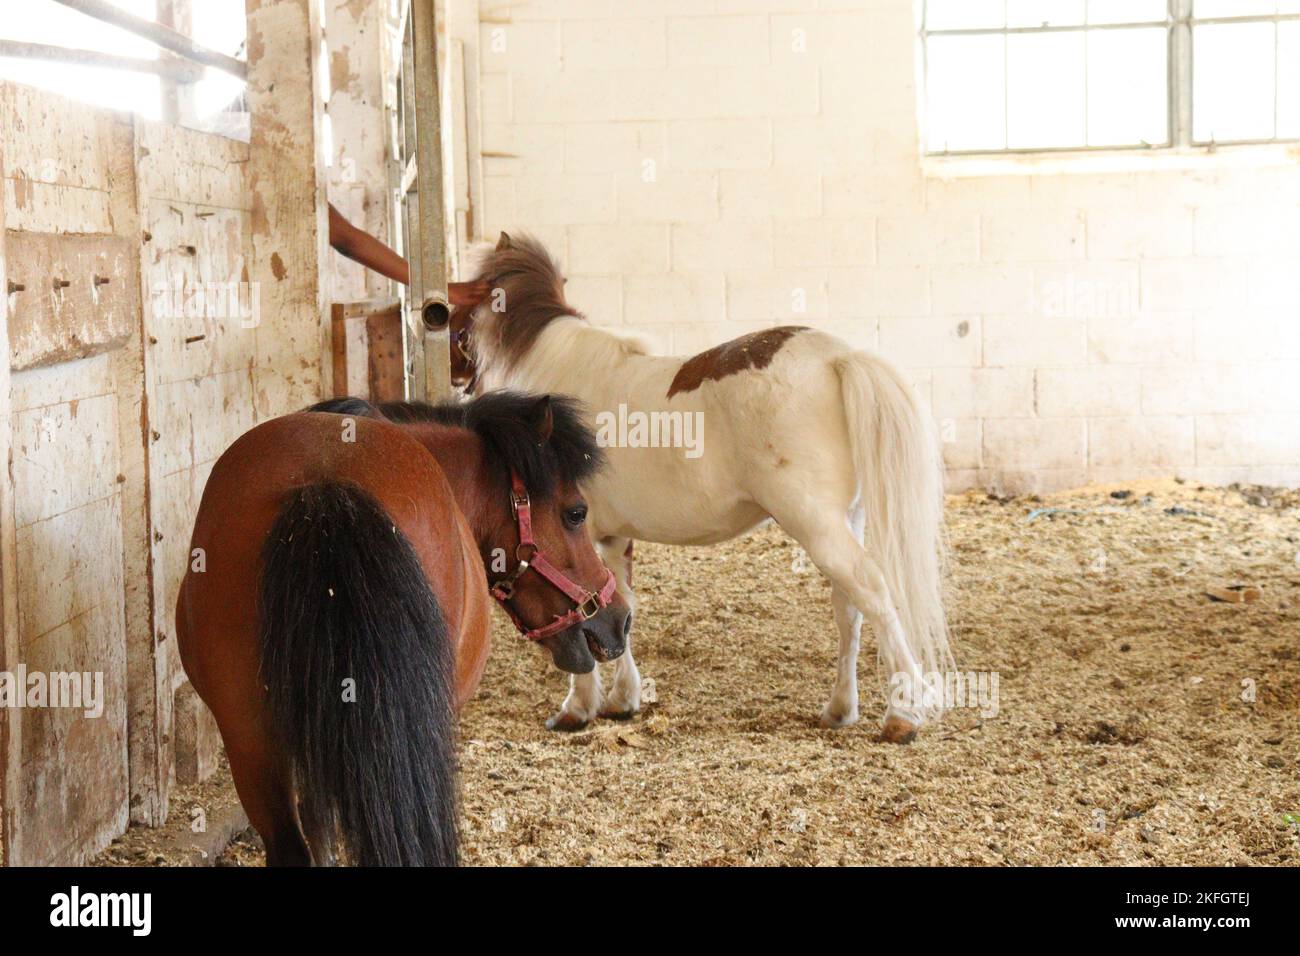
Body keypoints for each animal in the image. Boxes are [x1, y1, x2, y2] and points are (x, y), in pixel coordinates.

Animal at [449, 234, 952, 744]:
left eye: (454, 320)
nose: (455, 379)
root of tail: (837, 358)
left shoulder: (572, 535)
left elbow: (583, 613)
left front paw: (577, 708)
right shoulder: (609, 537)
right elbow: (619, 604)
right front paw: (623, 699)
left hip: (815, 524)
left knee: (872, 592)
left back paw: (902, 715)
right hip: (847, 519)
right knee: (849, 608)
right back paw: (840, 709)